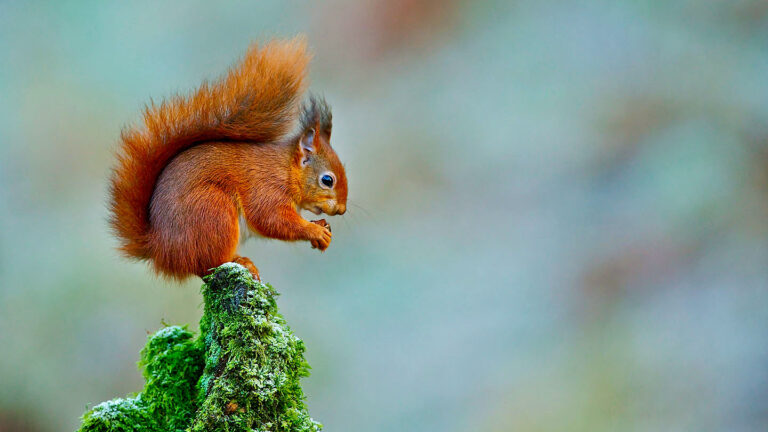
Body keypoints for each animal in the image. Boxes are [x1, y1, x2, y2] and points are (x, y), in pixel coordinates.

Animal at [108, 36, 347, 281]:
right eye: (327, 180)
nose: (341, 210)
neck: (287, 170)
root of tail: (159, 249)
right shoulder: (267, 189)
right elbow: (271, 219)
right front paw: (314, 231)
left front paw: (322, 225)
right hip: (214, 211)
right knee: (207, 265)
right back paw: (240, 261)